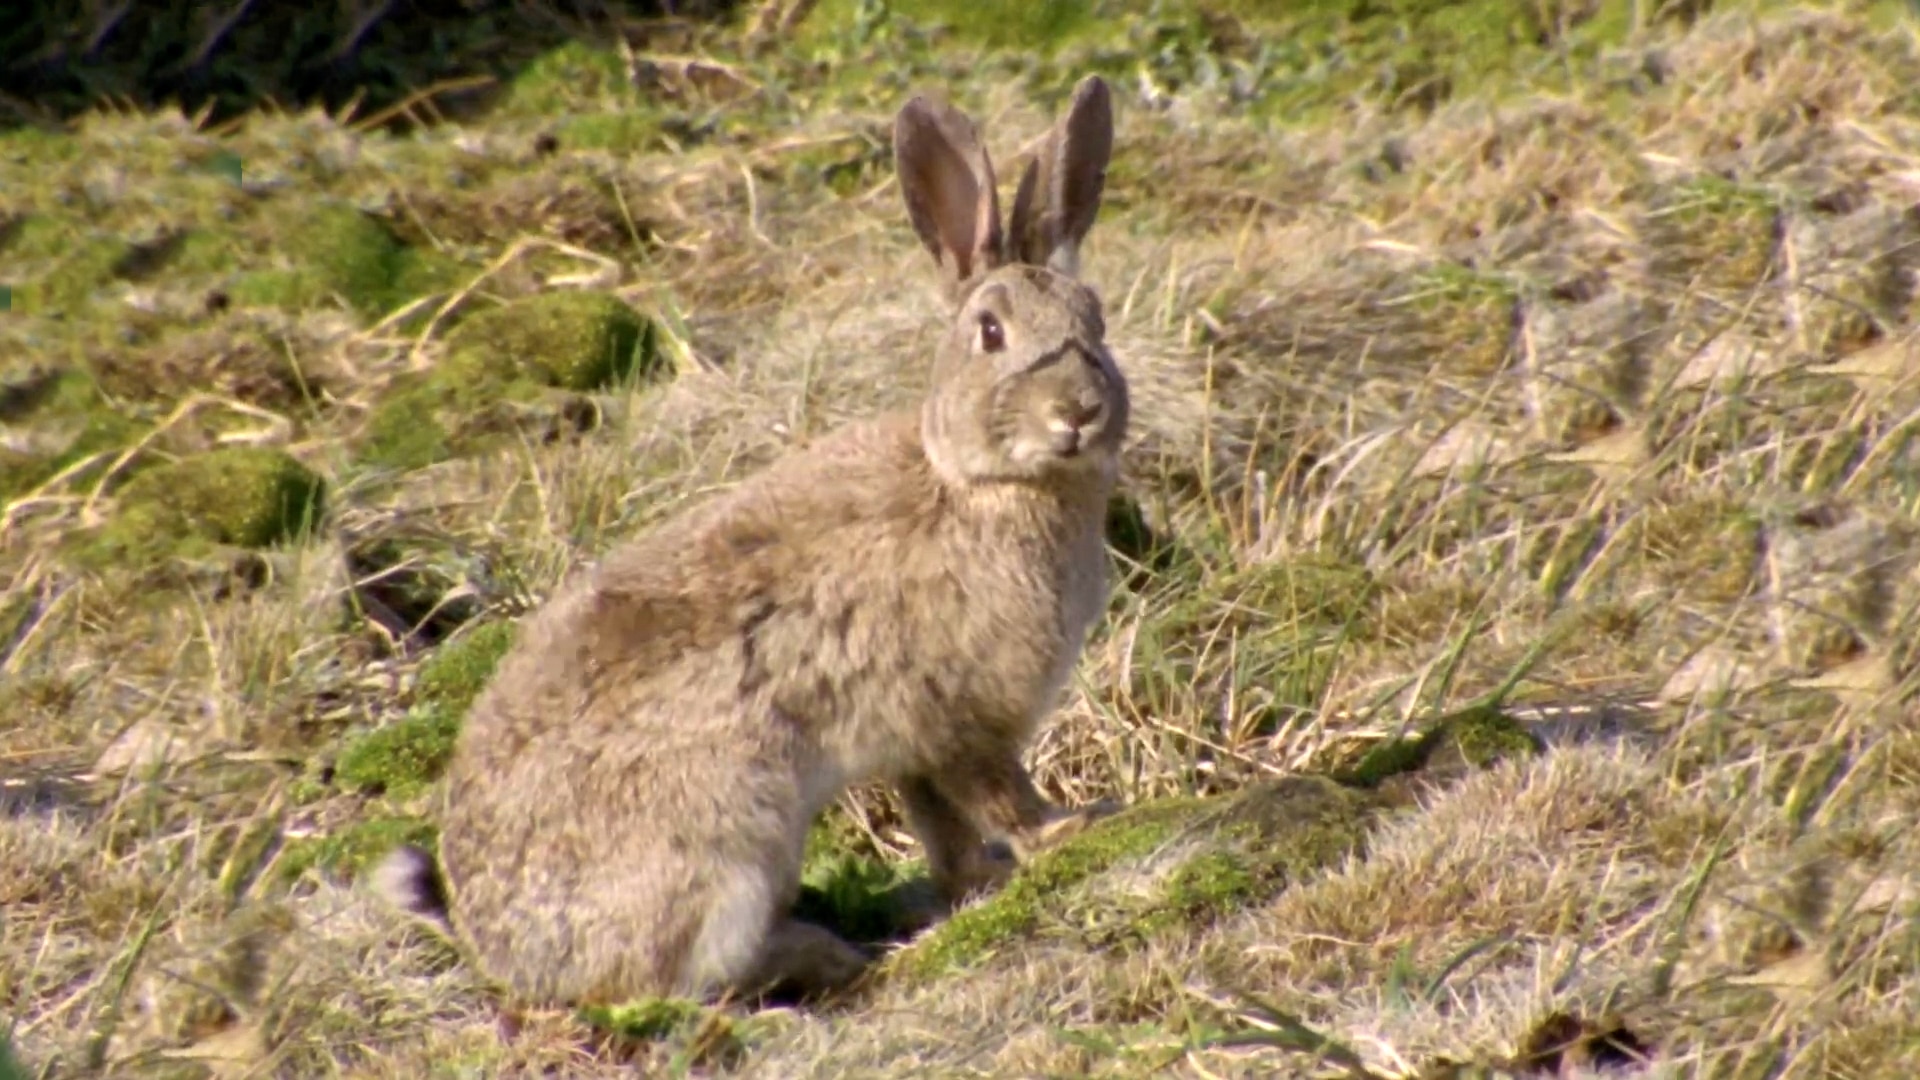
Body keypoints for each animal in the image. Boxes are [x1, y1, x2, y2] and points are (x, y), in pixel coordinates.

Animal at [373, 74, 1128, 1007]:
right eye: (991, 334)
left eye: (1096, 320)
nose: (1080, 411)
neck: (980, 486)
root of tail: (506, 955)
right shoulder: (960, 718)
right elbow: (994, 795)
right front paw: (1065, 832)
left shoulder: (917, 746)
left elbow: (940, 823)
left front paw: (976, 882)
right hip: (728, 845)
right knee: (675, 985)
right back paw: (824, 955)